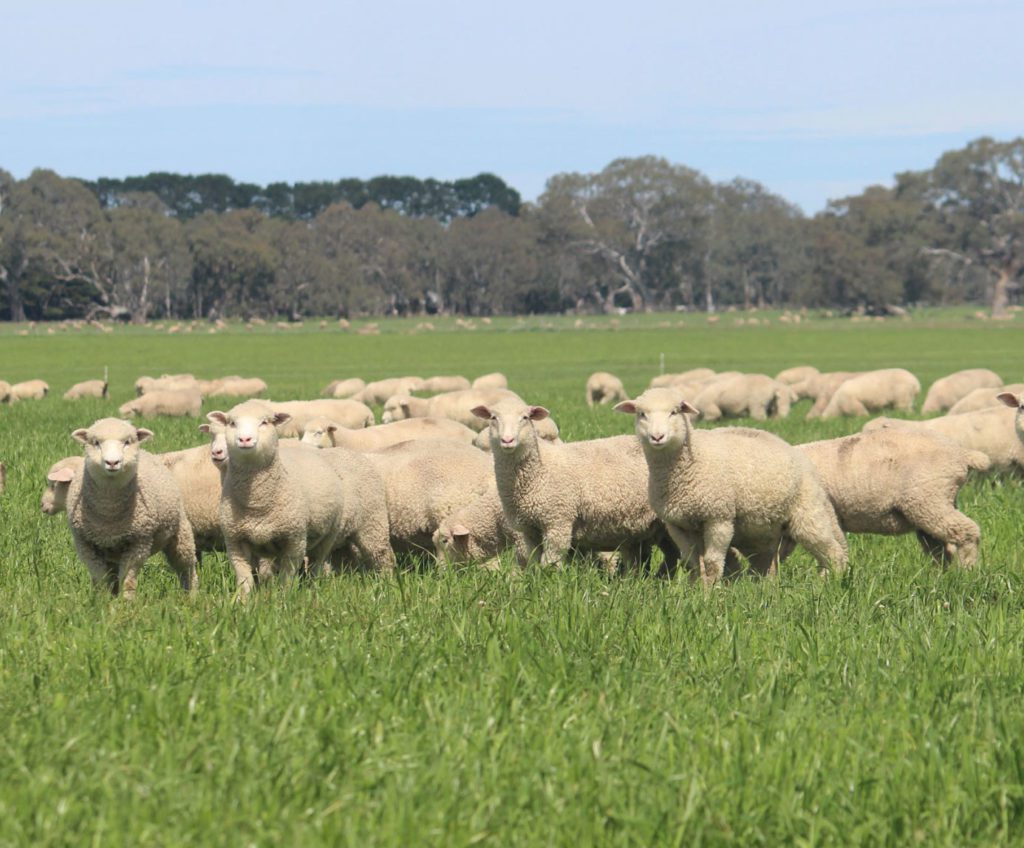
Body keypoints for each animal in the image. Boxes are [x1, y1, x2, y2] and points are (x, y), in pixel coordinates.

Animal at [65, 418, 197, 599]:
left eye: (127, 442)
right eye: (96, 442)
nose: (112, 462)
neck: (109, 513)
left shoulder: (138, 541)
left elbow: (128, 580)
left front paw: (127, 602)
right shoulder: (86, 544)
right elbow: (101, 579)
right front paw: (101, 602)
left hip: (181, 535)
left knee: (187, 569)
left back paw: (192, 597)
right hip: (111, 553)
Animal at [209, 402, 393, 596]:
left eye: (265, 422)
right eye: (232, 423)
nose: (245, 439)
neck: (256, 503)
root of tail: (351, 453)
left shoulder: (294, 540)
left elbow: (286, 577)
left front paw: (283, 598)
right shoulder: (235, 541)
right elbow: (245, 579)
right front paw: (242, 601)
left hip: (363, 526)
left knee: (376, 556)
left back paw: (385, 586)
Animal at [472, 397, 678, 571]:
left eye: (525, 418)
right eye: (493, 418)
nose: (507, 440)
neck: (540, 470)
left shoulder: (558, 521)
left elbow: (550, 564)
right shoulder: (529, 530)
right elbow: (533, 563)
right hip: (650, 527)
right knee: (663, 556)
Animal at [614, 389, 847, 585]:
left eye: (674, 412)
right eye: (642, 414)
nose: (657, 437)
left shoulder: (719, 517)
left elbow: (711, 562)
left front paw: (710, 594)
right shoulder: (678, 525)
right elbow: (692, 561)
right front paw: (695, 588)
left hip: (807, 512)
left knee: (832, 551)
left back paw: (833, 583)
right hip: (766, 528)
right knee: (769, 562)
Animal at [798, 430, 989, 567]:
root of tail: (963, 454)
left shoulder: (824, 509)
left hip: (927, 499)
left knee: (967, 531)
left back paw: (968, 572)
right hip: (937, 502)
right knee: (942, 547)